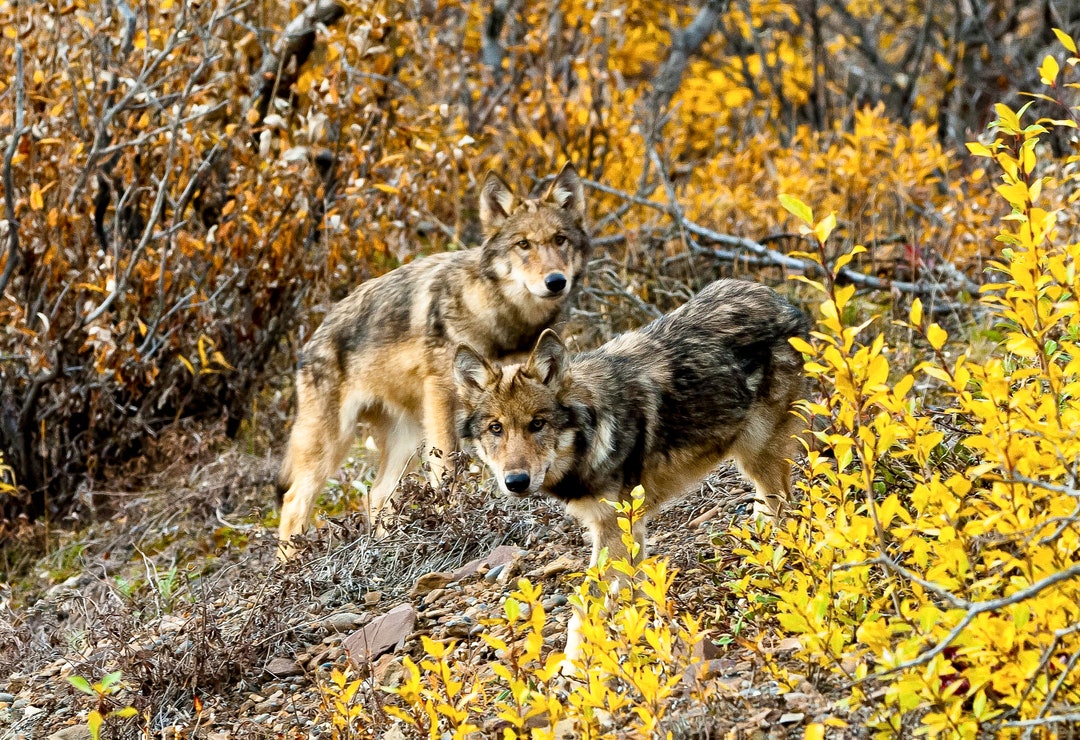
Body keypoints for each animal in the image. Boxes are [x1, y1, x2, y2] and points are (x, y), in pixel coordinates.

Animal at [276, 164, 590, 555]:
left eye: (560, 240)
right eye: (524, 244)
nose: (556, 281)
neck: (504, 317)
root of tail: (309, 340)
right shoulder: (443, 393)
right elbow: (449, 468)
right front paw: (452, 517)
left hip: (405, 442)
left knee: (376, 496)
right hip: (330, 446)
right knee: (293, 504)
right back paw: (290, 564)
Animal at [452, 278, 809, 659]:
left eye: (537, 424)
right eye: (496, 428)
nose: (516, 482)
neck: (593, 431)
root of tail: (776, 298)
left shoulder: (614, 526)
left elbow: (586, 604)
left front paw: (574, 666)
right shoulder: (628, 526)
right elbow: (630, 592)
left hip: (760, 459)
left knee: (785, 511)